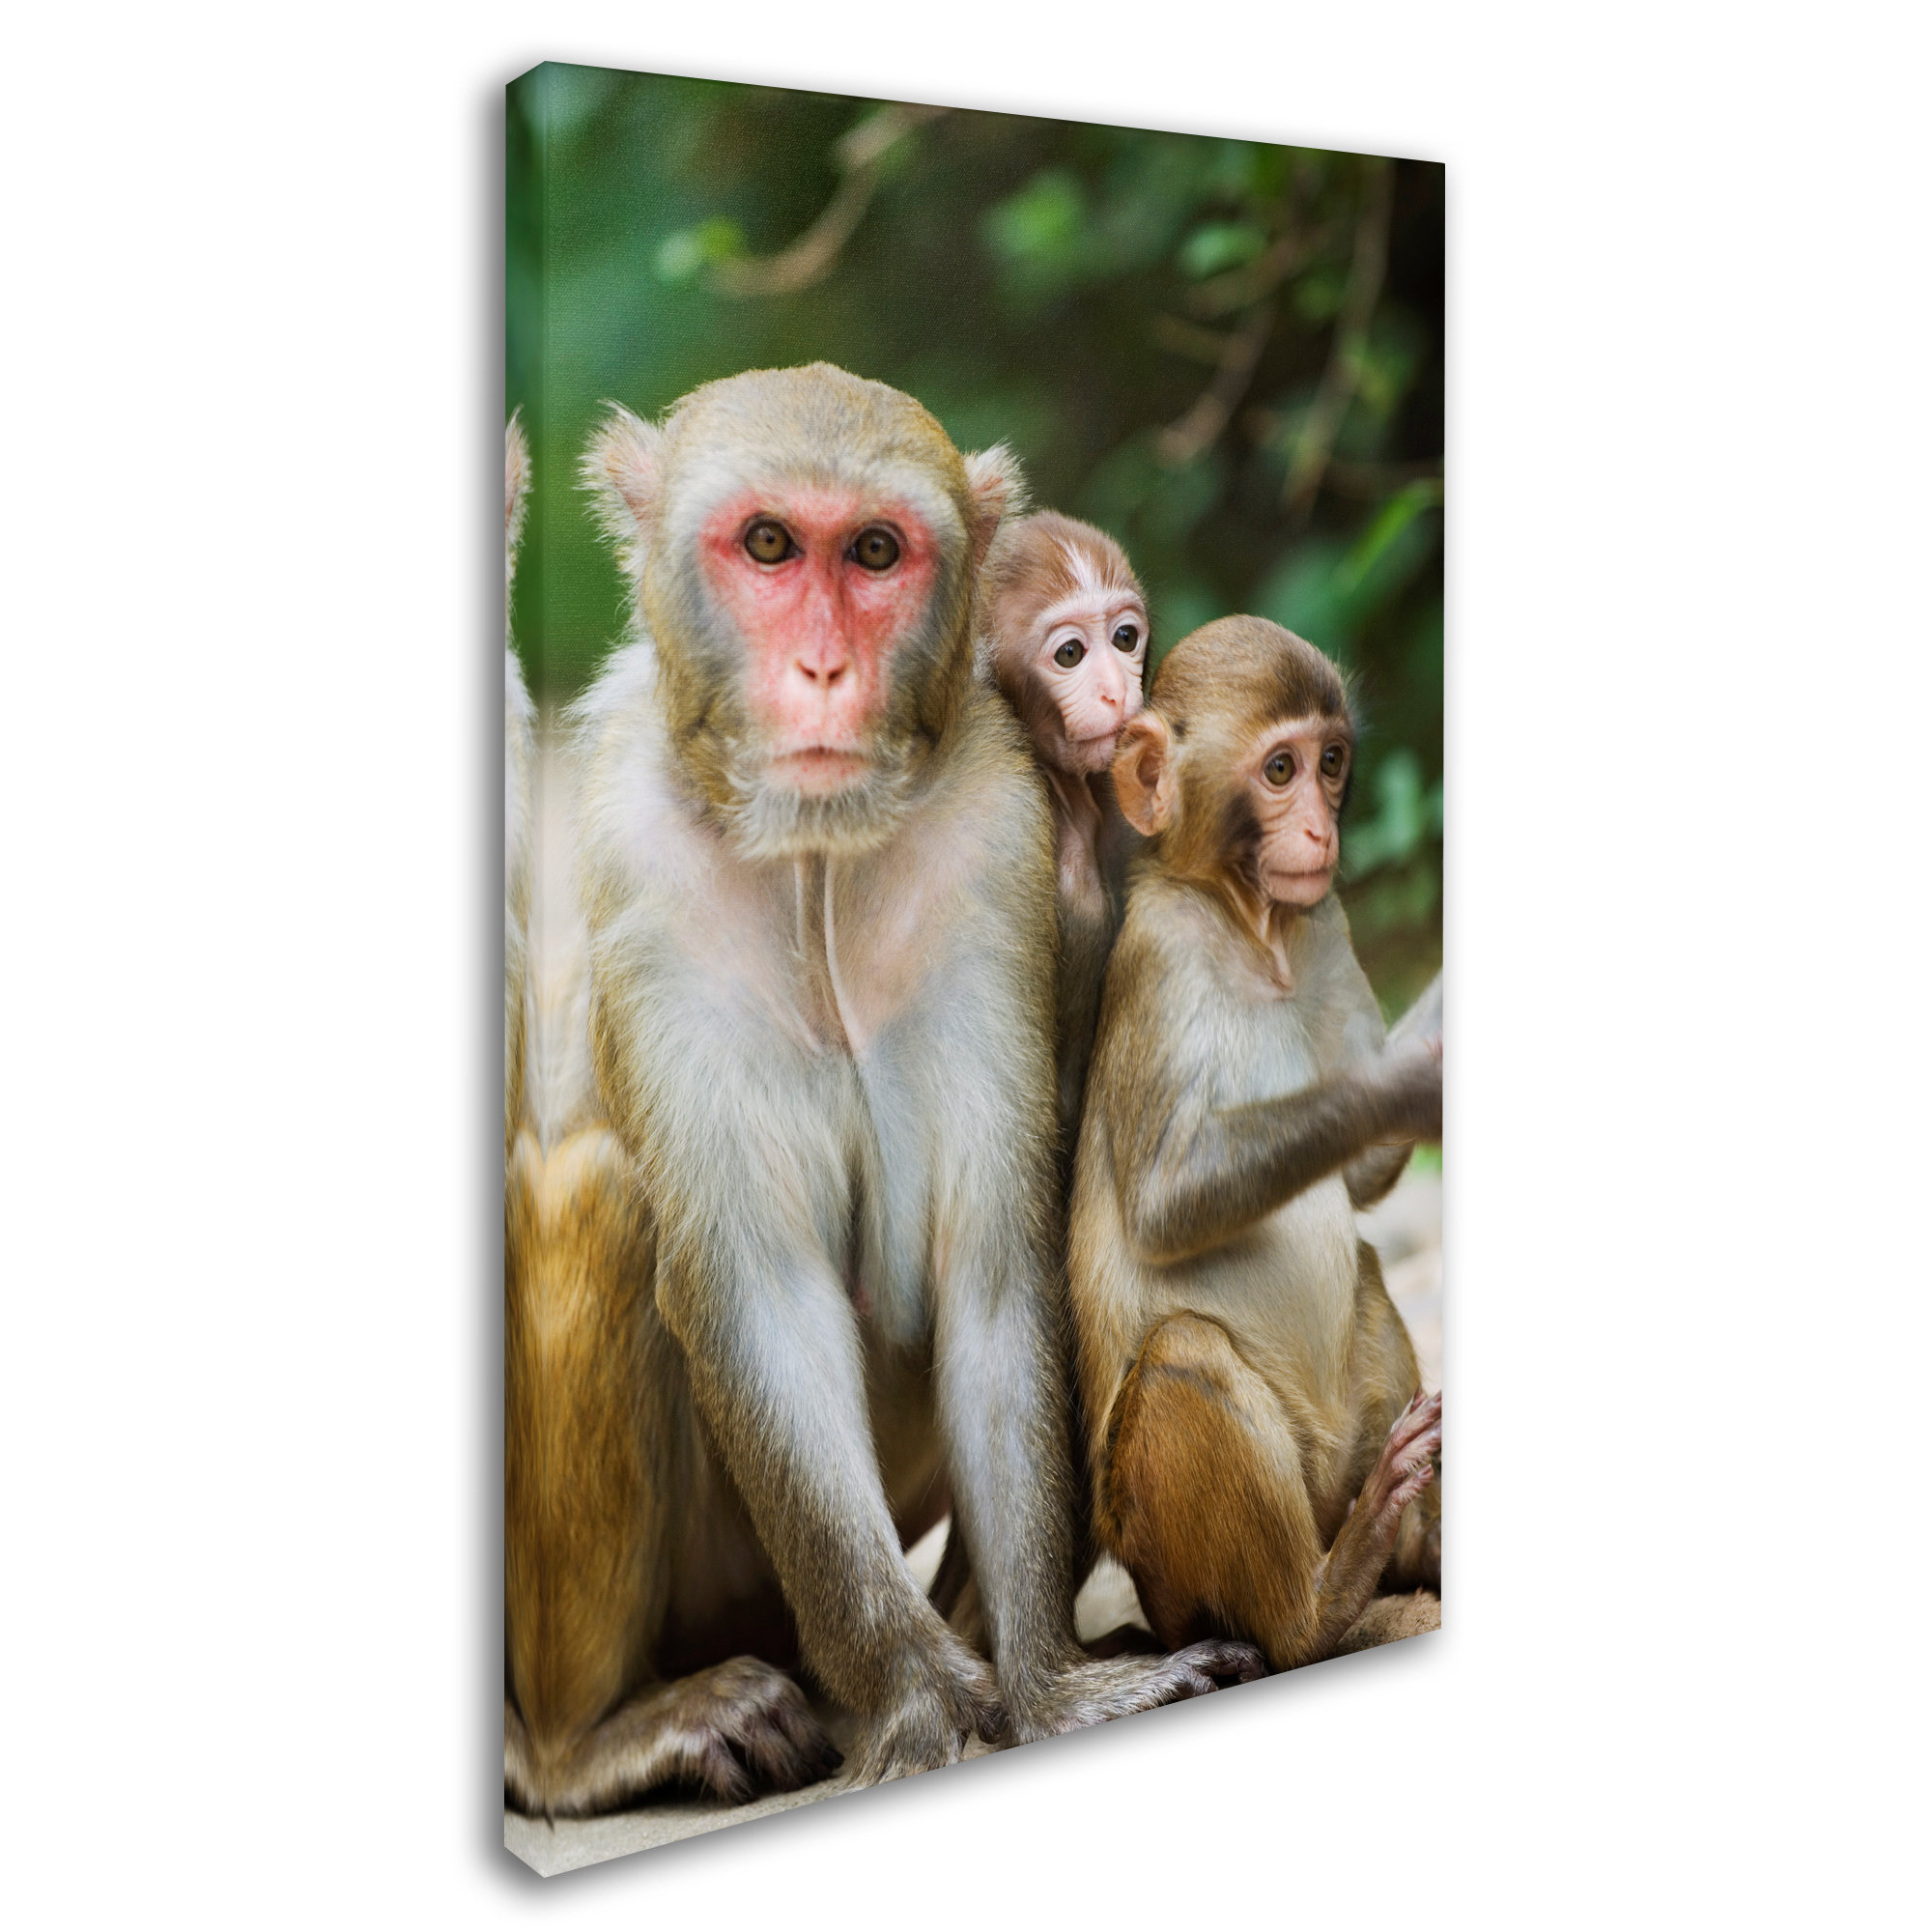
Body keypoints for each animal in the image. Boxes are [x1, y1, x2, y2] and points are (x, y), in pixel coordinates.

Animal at [1069, 613, 1444, 1677]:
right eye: (1279, 769)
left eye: (1330, 761)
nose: (1320, 829)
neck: (1254, 931)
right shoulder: (1156, 957)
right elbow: (1165, 1203)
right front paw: (1407, 1080)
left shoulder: (1325, 925)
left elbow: (1357, 1181)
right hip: (1167, 1560)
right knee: (1183, 1354)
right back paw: (1320, 1603)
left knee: (1364, 1267)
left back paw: (1419, 1546)